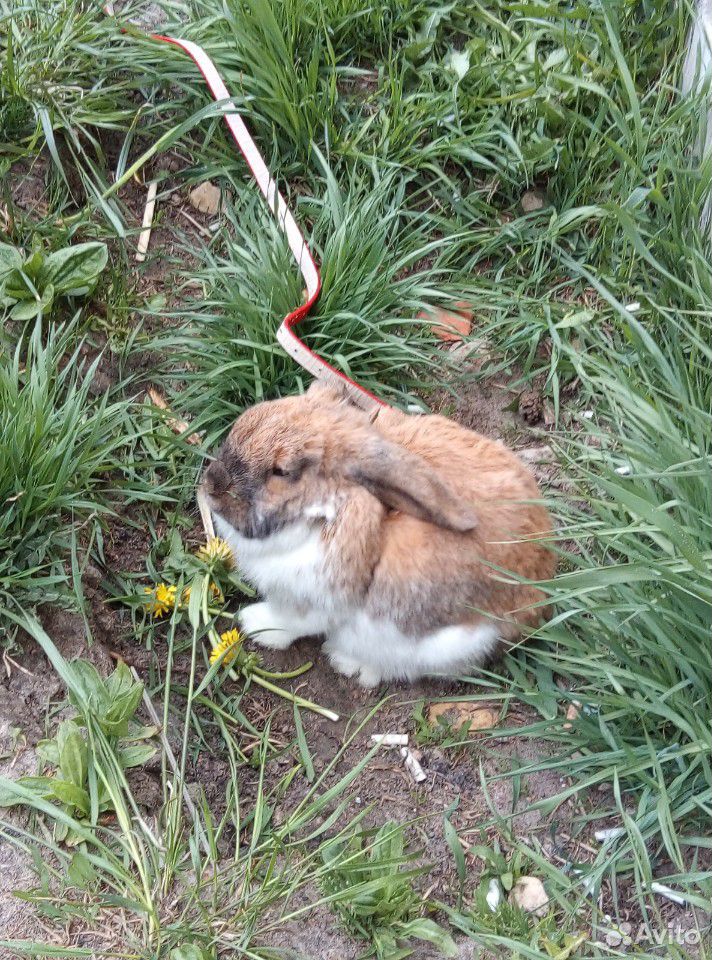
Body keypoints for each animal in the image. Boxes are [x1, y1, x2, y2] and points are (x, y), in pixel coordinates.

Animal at [199, 382, 555, 687]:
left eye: (281, 471)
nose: (212, 483)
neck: (324, 512)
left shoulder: (313, 603)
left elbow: (290, 623)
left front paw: (253, 624)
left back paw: (350, 663)